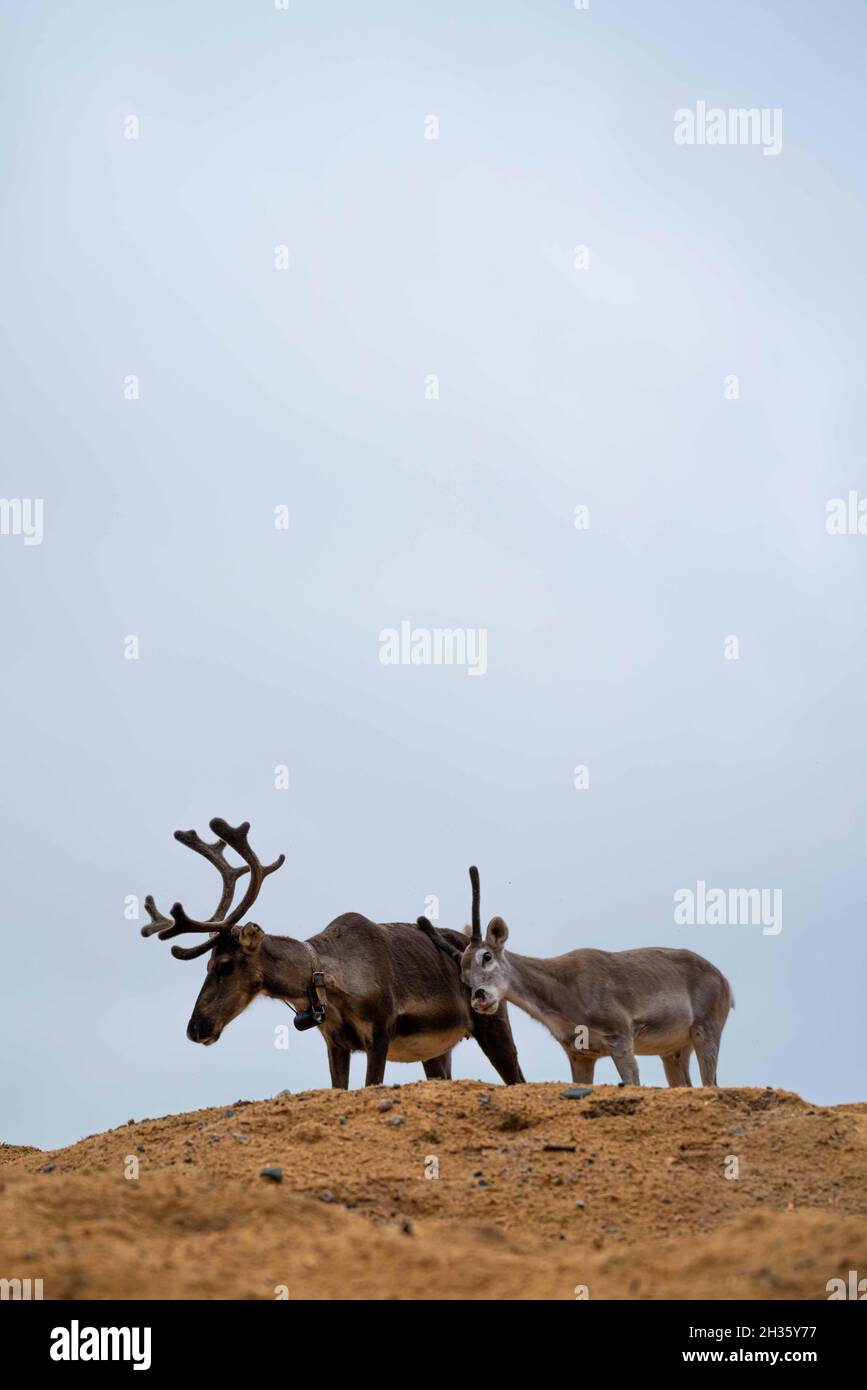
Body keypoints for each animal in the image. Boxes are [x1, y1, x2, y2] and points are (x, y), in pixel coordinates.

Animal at [141, 818, 525, 1089]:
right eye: (206, 964)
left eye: (224, 966)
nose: (195, 1028)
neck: (327, 979)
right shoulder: (335, 1044)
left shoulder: (380, 1032)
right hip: (437, 1051)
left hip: (492, 1021)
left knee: (519, 1079)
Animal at [417, 867, 734, 1087]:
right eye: (463, 975)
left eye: (486, 956)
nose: (480, 999)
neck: (563, 990)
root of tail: (724, 981)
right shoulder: (580, 1054)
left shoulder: (620, 1035)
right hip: (674, 1049)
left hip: (706, 1029)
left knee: (711, 1083)